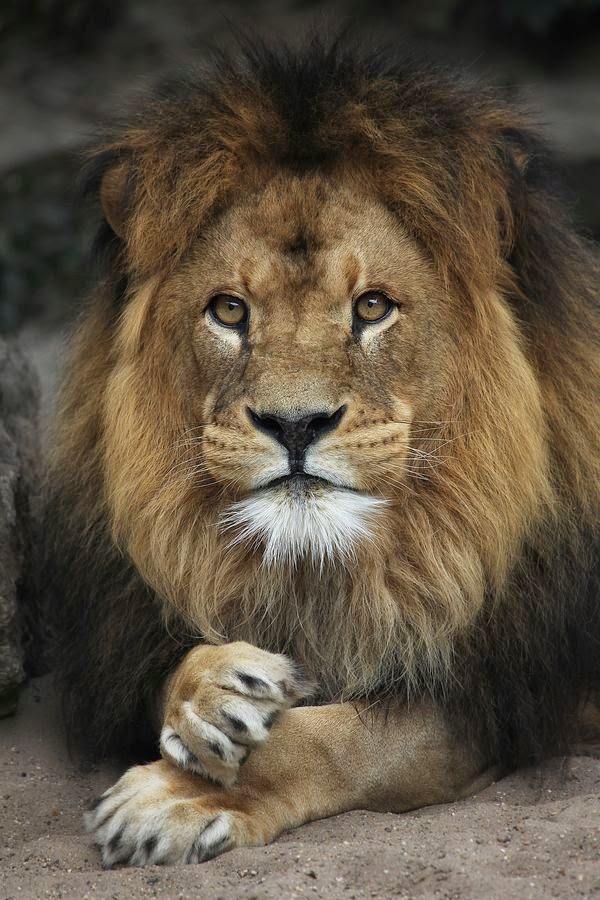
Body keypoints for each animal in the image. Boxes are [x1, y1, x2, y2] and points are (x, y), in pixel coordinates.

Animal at [44, 38, 600, 867]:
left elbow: (342, 741)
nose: (295, 423)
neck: (329, 575)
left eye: (371, 306)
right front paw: (214, 693)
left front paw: (174, 797)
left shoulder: (491, 693)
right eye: (229, 311)